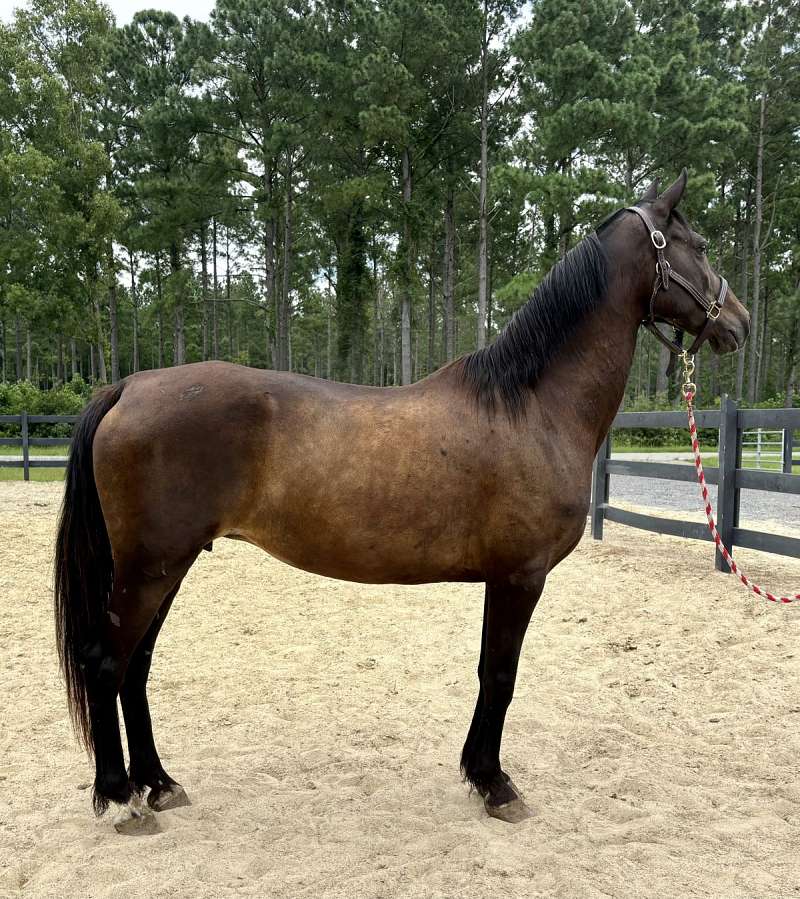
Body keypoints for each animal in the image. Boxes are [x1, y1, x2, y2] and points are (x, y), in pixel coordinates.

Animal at [54, 170, 750, 832]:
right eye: (698, 245)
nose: (738, 322)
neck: (530, 407)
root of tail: (128, 387)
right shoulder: (519, 576)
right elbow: (500, 675)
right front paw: (496, 785)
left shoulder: (504, 578)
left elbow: (487, 672)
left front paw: (478, 774)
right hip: (150, 567)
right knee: (107, 663)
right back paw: (121, 799)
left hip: (167, 566)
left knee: (136, 666)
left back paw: (159, 784)